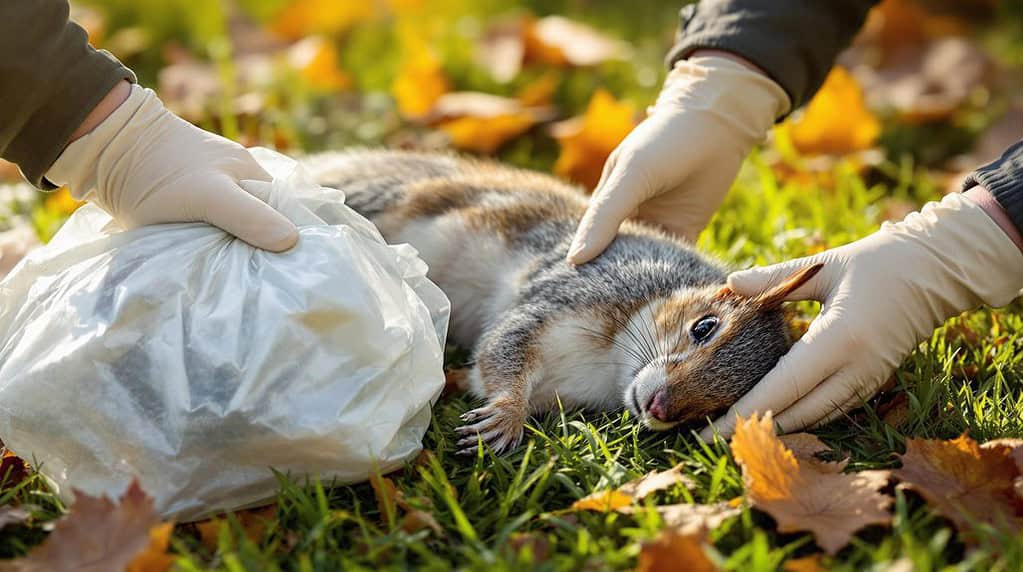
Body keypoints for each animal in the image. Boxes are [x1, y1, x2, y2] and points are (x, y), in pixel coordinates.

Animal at [301, 150, 821, 455]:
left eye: (725, 406)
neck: (609, 367)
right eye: (704, 327)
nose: (660, 409)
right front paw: (506, 415)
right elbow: (505, 345)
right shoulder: (565, 293)